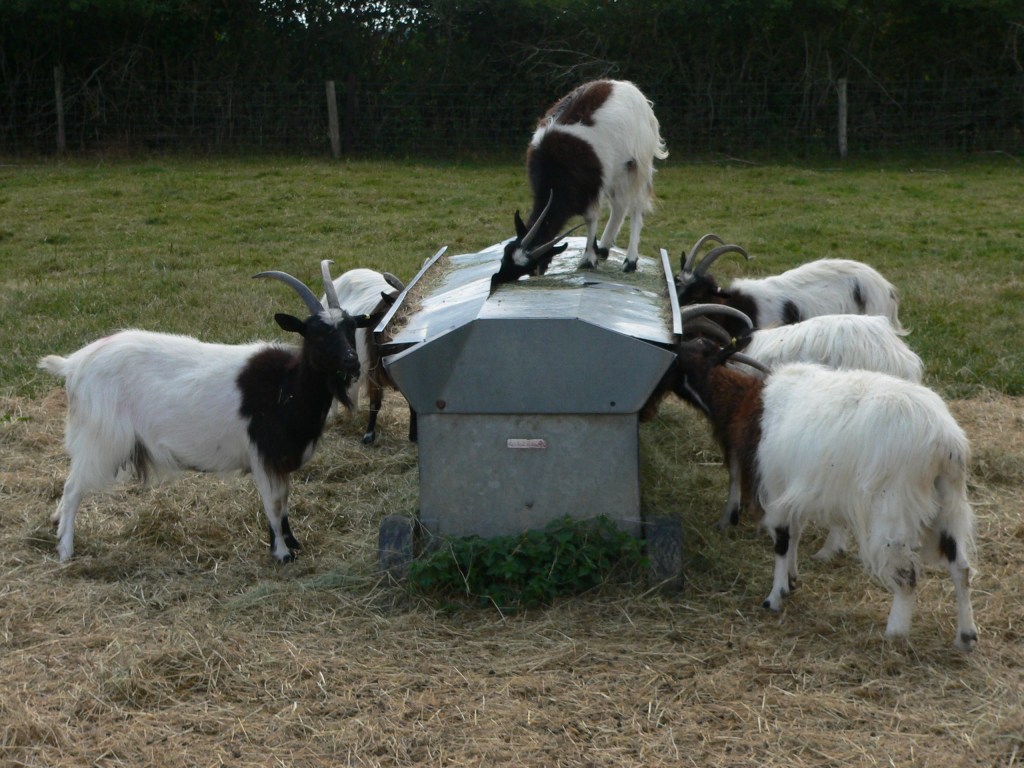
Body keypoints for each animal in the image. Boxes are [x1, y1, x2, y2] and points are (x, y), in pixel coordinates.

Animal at [39, 261, 373, 563]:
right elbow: (274, 504)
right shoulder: (262, 454)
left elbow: (285, 499)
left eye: (350, 327)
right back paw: (65, 550)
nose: (351, 360)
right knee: (72, 489)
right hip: (101, 439)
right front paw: (281, 553)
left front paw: (292, 541)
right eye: (316, 333)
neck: (286, 386)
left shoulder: (278, 458)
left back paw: (56, 524)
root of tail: (74, 364)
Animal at [490, 79, 669, 291]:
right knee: (619, 205)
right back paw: (604, 248)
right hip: (616, 171)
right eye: (505, 255)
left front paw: (588, 259)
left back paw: (630, 261)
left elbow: (591, 219)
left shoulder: (591, 186)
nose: (497, 279)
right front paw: (594, 253)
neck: (555, 165)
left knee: (636, 208)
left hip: (638, 165)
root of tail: (629, 88)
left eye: (527, 266)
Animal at [667, 307, 978, 651]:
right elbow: (795, 534)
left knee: (908, 574)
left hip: (893, 507)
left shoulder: (775, 488)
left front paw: (774, 597)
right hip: (949, 502)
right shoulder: (795, 487)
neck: (750, 401)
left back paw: (895, 632)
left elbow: (782, 540)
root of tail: (947, 443)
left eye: (684, 352)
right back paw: (966, 636)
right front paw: (791, 580)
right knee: (961, 567)